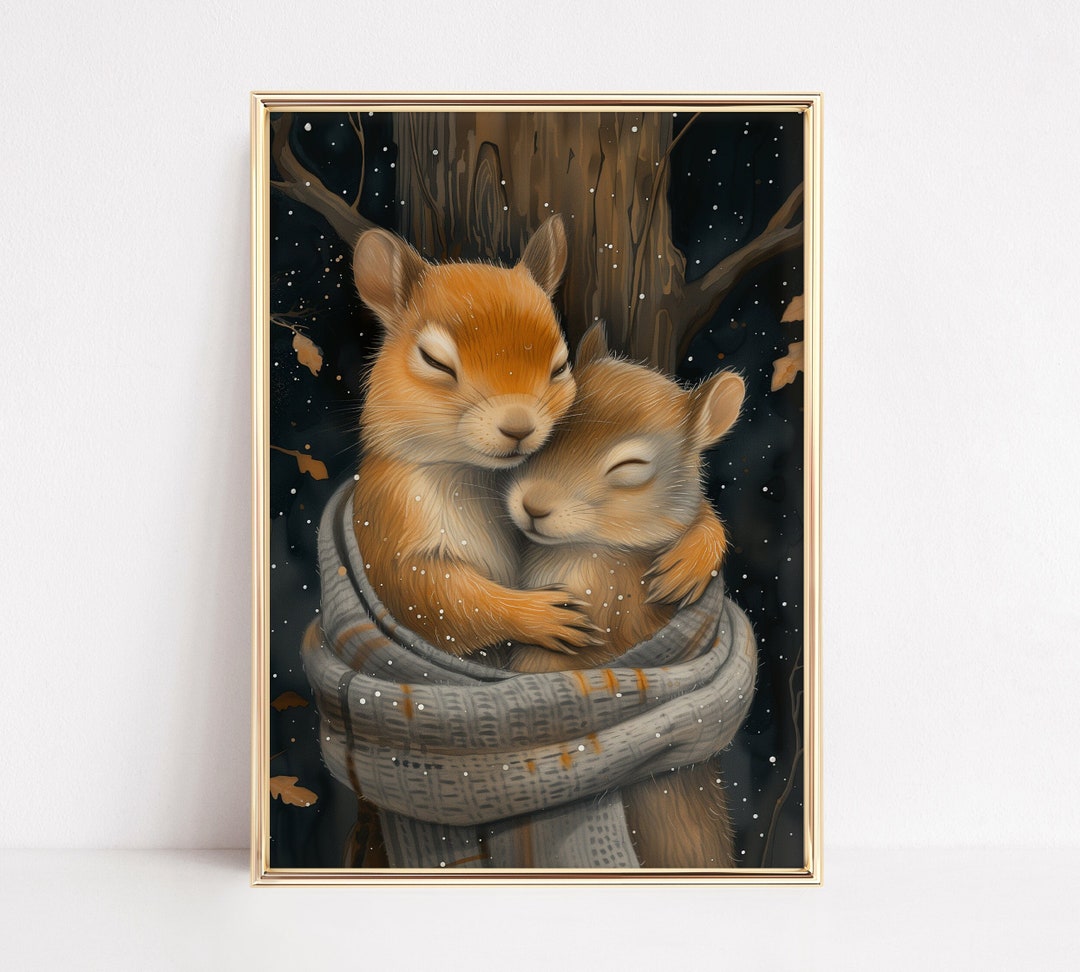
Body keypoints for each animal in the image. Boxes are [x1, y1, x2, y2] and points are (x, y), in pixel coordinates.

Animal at [350, 216, 601, 659]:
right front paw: (544, 614)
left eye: (559, 367)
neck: (470, 473)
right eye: (434, 361)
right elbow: (436, 597)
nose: (518, 427)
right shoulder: (388, 524)